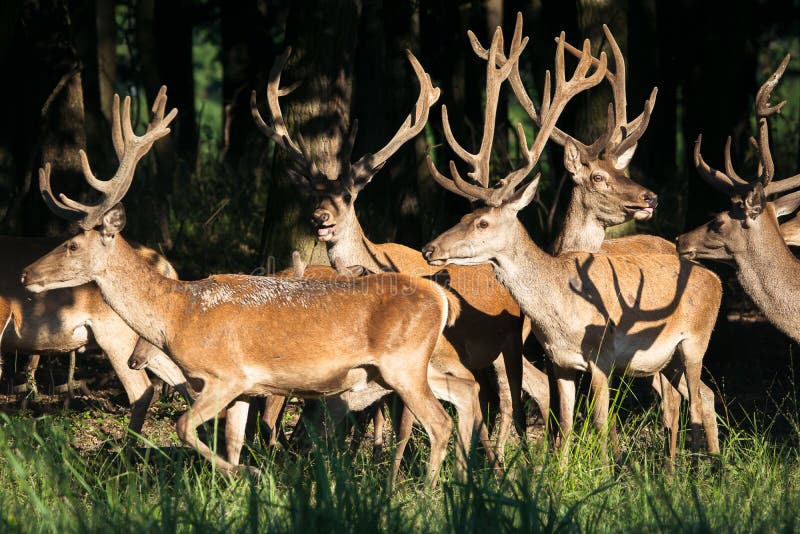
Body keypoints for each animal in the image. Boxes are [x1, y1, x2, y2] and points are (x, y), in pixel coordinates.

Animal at [251, 45, 550, 460]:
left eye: (348, 195)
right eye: (313, 194)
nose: (319, 218)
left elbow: (403, 418)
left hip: (510, 345)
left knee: (525, 392)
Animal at [422, 32, 722, 463]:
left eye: (482, 222)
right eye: (464, 215)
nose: (430, 248)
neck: (559, 310)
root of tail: (717, 279)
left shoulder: (602, 357)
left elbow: (599, 425)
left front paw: (605, 472)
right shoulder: (558, 362)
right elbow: (562, 424)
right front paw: (558, 473)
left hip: (696, 341)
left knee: (696, 401)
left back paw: (699, 467)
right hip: (665, 361)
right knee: (698, 399)